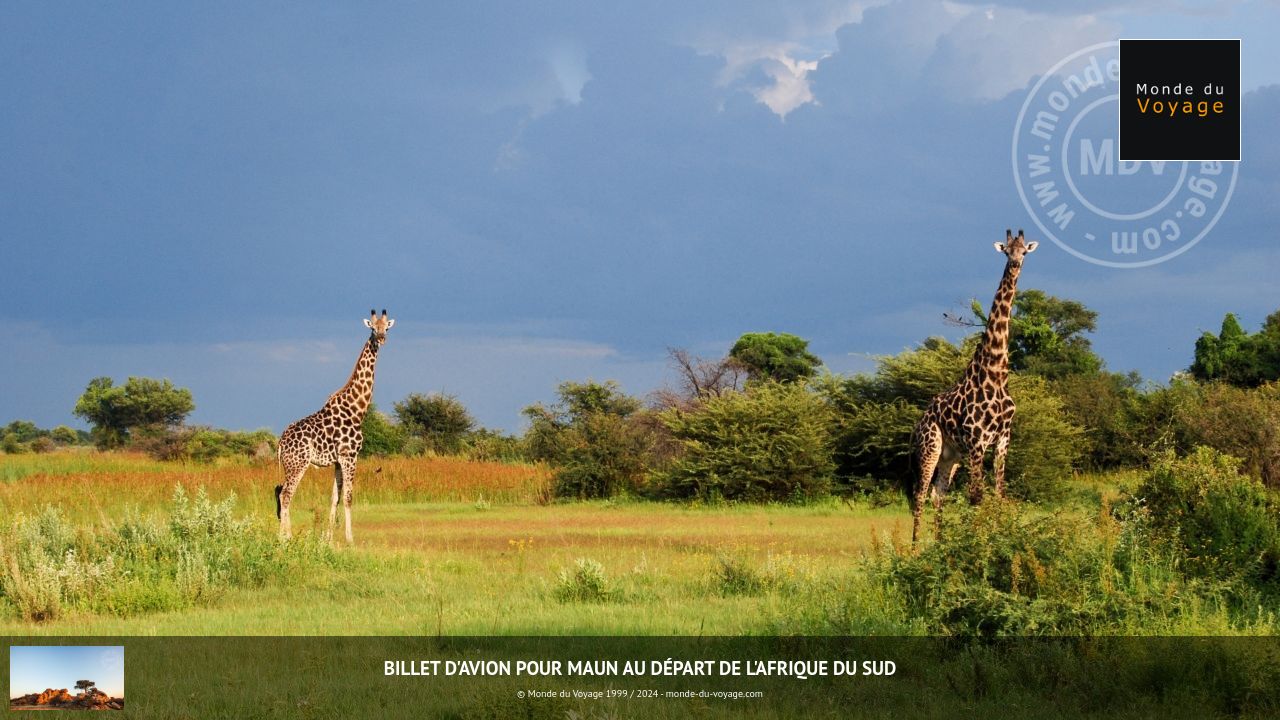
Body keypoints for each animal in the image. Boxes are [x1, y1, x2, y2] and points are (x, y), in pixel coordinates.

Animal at [279, 307, 394, 538]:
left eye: (386, 328)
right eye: (372, 328)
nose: (381, 338)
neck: (357, 409)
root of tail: (280, 442)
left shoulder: (338, 460)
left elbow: (335, 497)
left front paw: (328, 537)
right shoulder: (350, 455)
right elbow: (349, 497)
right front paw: (350, 538)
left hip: (290, 465)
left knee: (281, 493)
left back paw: (285, 535)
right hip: (298, 464)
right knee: (286, 495)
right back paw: (285, 538)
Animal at [911, 229, 1039, 543]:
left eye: (1024, 252)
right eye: (1006, 251)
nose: (1015, 265)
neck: (995, 373)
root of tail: (920, 420)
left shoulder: (1003, 439)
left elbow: (998, 494)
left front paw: (998, 538)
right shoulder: (977, 441)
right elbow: (976, 496)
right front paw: (980, 543)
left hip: (952, 455)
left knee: (938, 493)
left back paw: (939, 544)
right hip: (930, 446)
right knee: (920, 493)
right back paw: (914, 547)